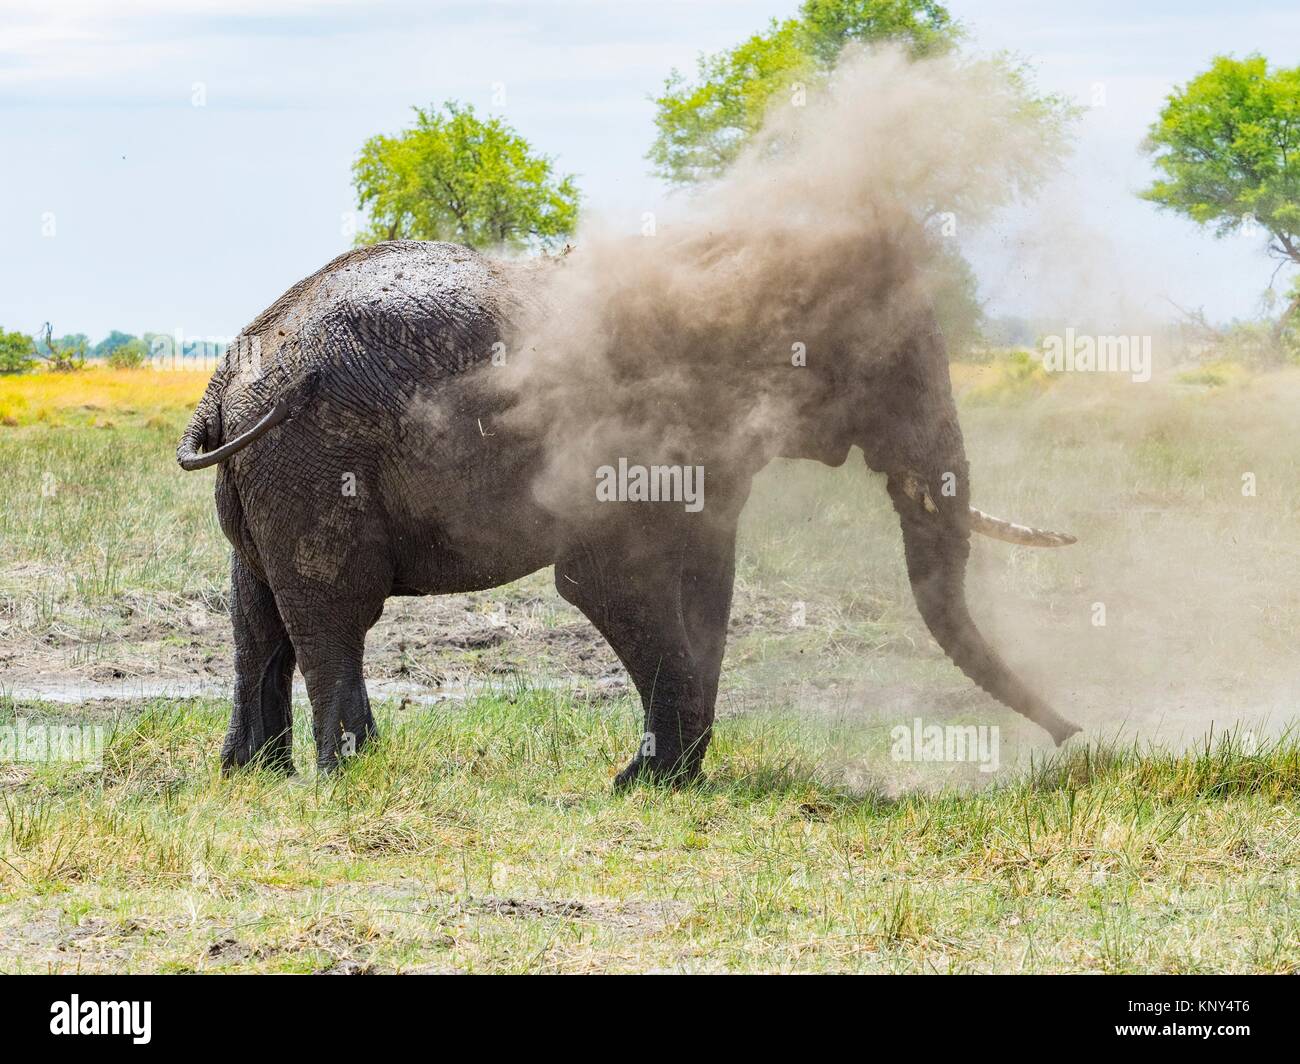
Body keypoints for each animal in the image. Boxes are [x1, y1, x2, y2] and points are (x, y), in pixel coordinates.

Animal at [178, 238, 1080, 787]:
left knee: (258, 612)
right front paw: (643, 781)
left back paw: (253, 774)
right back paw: (351, 773)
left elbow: (708, 586)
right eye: (895, 370)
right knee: (332, 609)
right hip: (314, 461)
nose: (1073, 738)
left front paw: (673, 779)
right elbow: (606, 583)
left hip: (268, 474)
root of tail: (224, 379)